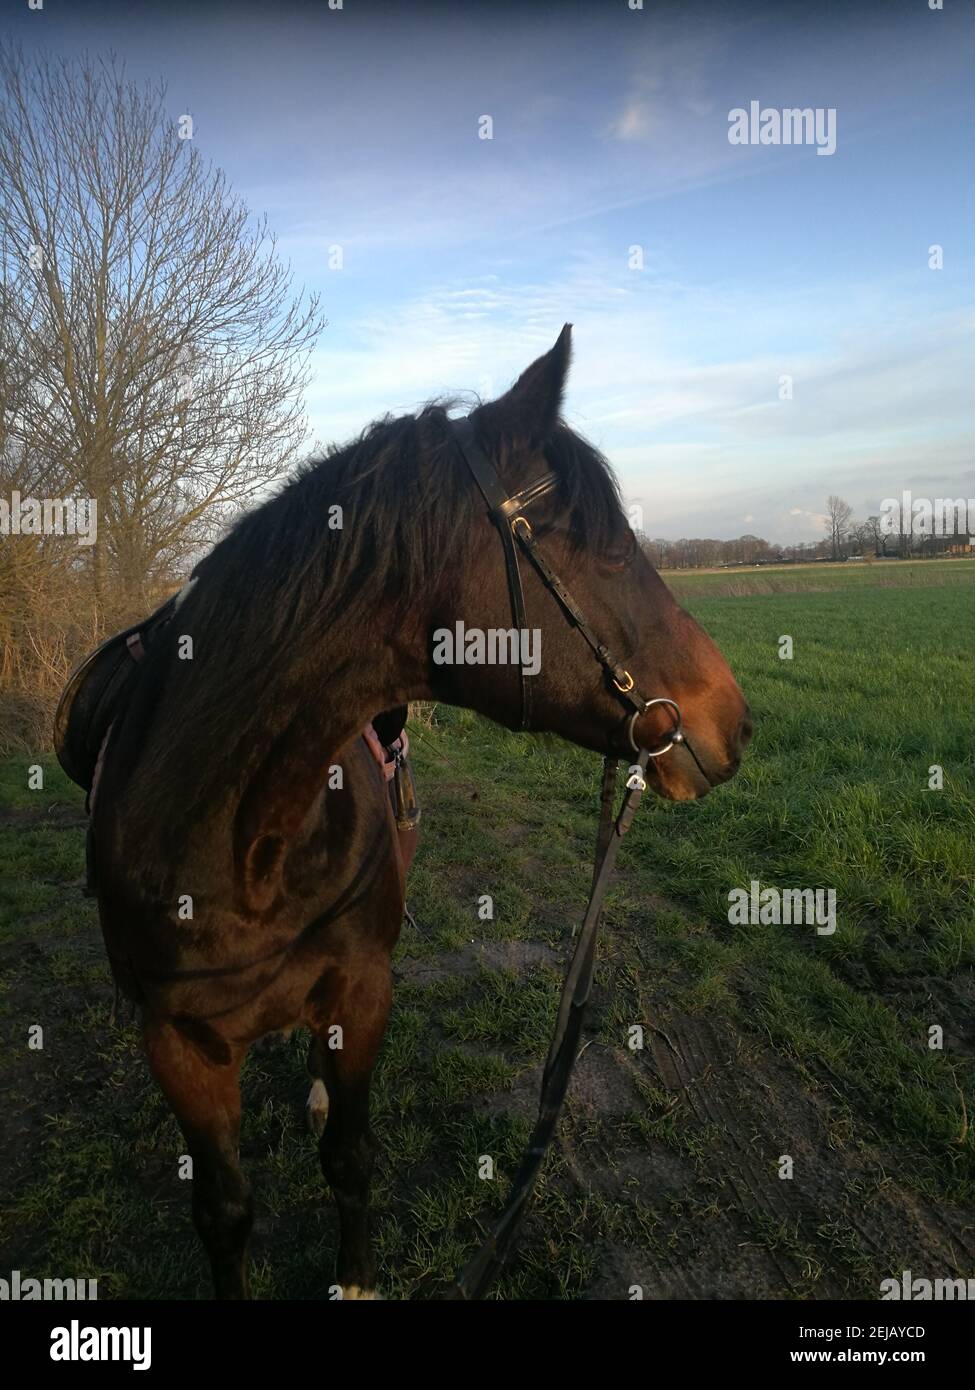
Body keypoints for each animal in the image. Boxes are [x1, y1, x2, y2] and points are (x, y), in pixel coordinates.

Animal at [60, 325, 751, 1299]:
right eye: (605, 548)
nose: (733, 719)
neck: (234, 842)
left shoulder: (362, 991)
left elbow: (350, 1159)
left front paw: (354, 1279)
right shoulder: (177, 1044)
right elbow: (224, 1213)